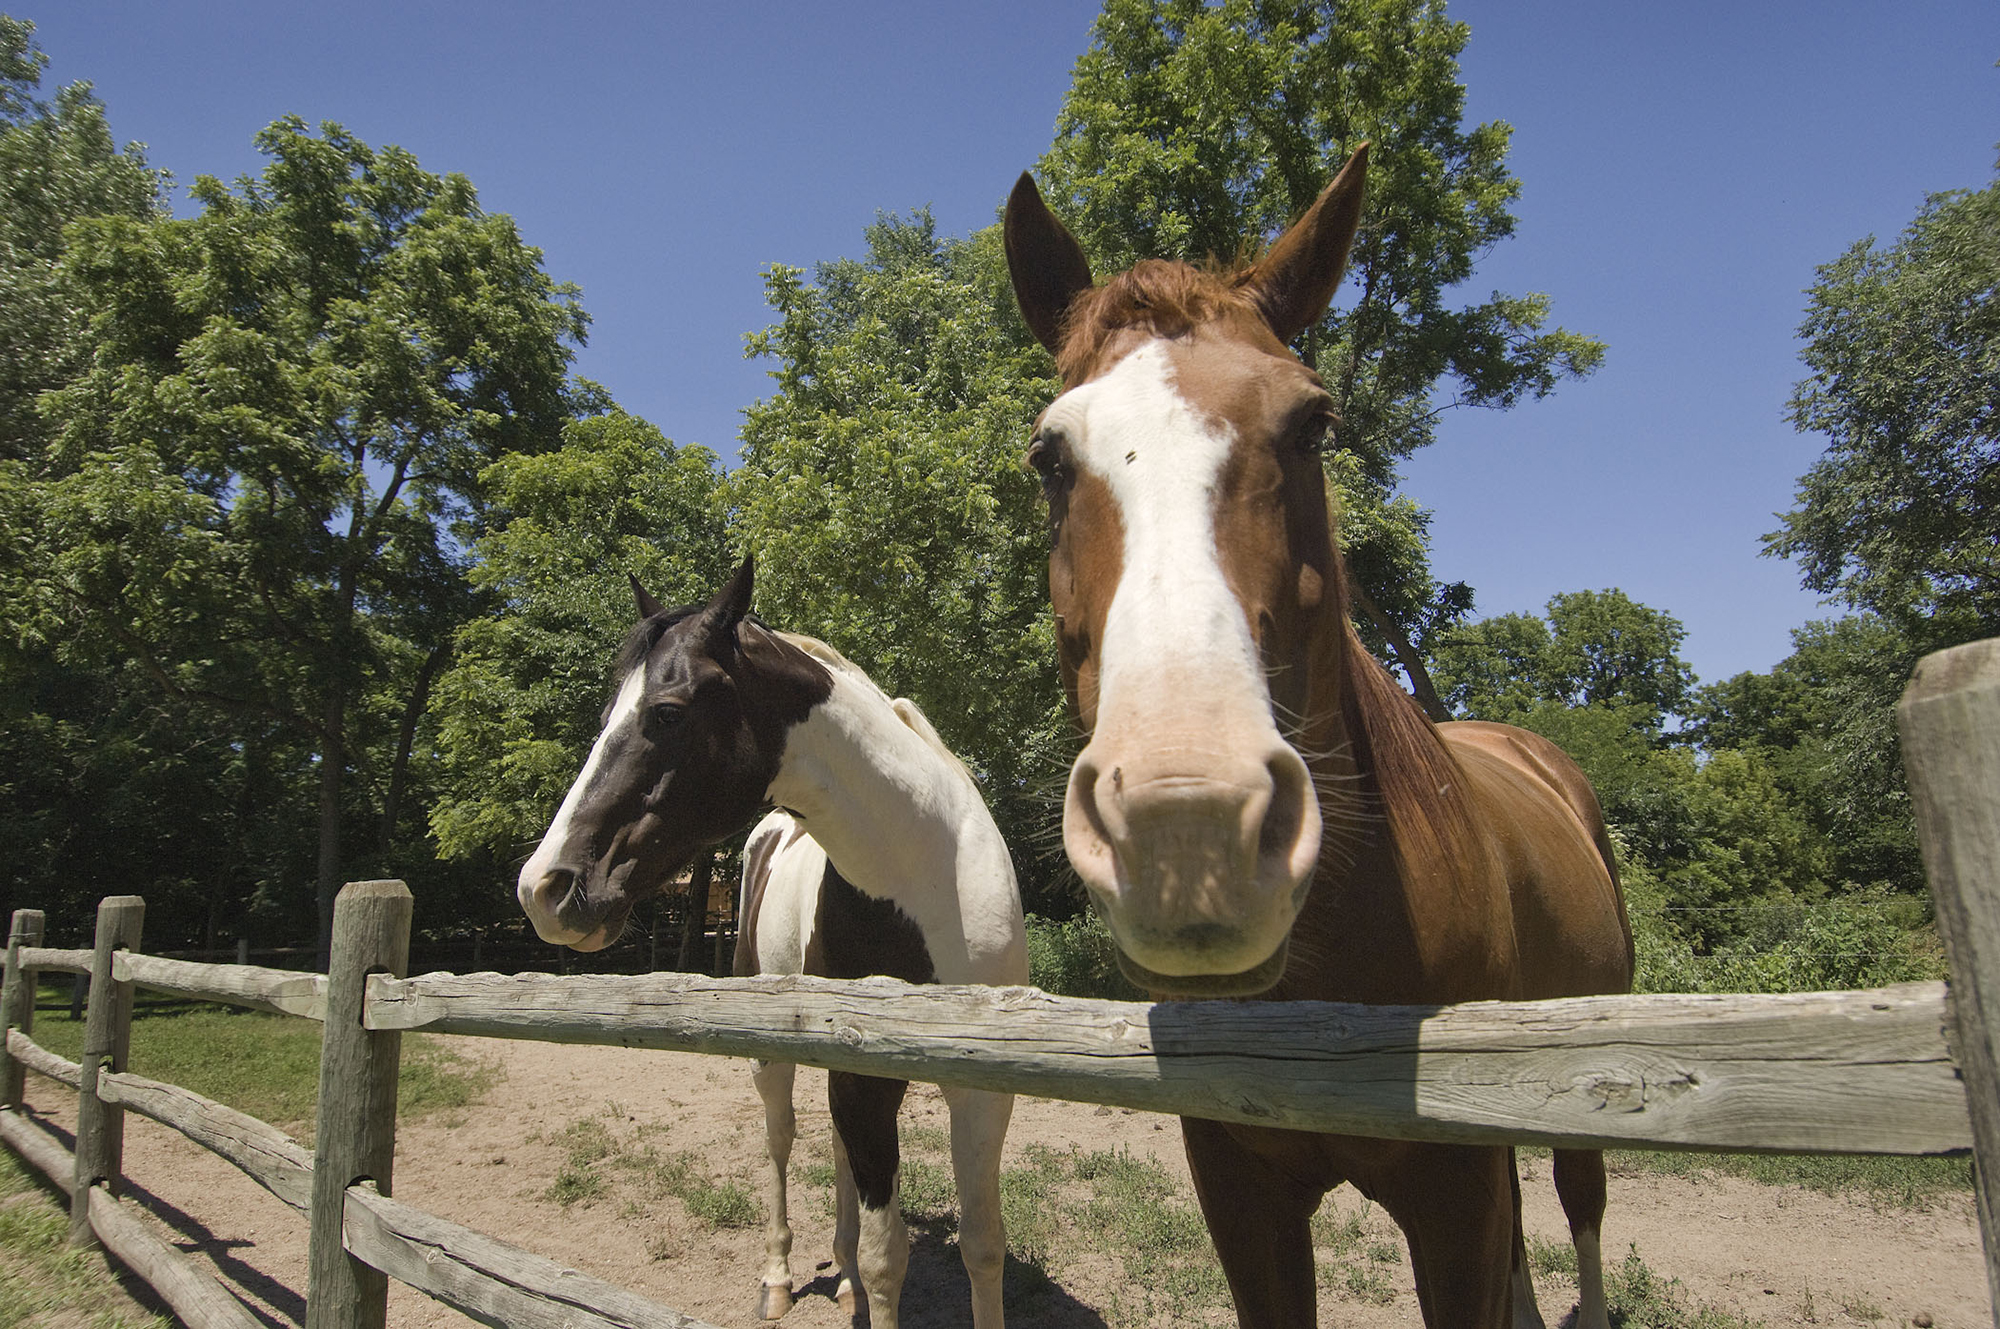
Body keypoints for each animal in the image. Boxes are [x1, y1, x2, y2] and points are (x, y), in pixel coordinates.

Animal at [516, 559, 1028, 1329]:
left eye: (667, 712)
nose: (545, 887)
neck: (930, 876)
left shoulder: (983, 1089)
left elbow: (983, 1245)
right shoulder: (864, 1080)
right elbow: (889, 1258)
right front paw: (846, 1274)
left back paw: (840, 1275)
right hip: (774, 1057)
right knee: (782, 1140)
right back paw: (781, 1278)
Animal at [1001, 143, 1634, 1329]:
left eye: (1312, 424)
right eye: (1048, 455)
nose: (1189, 833)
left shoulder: (1453, 1197)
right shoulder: (1239, 1190)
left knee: (1579, 1197)